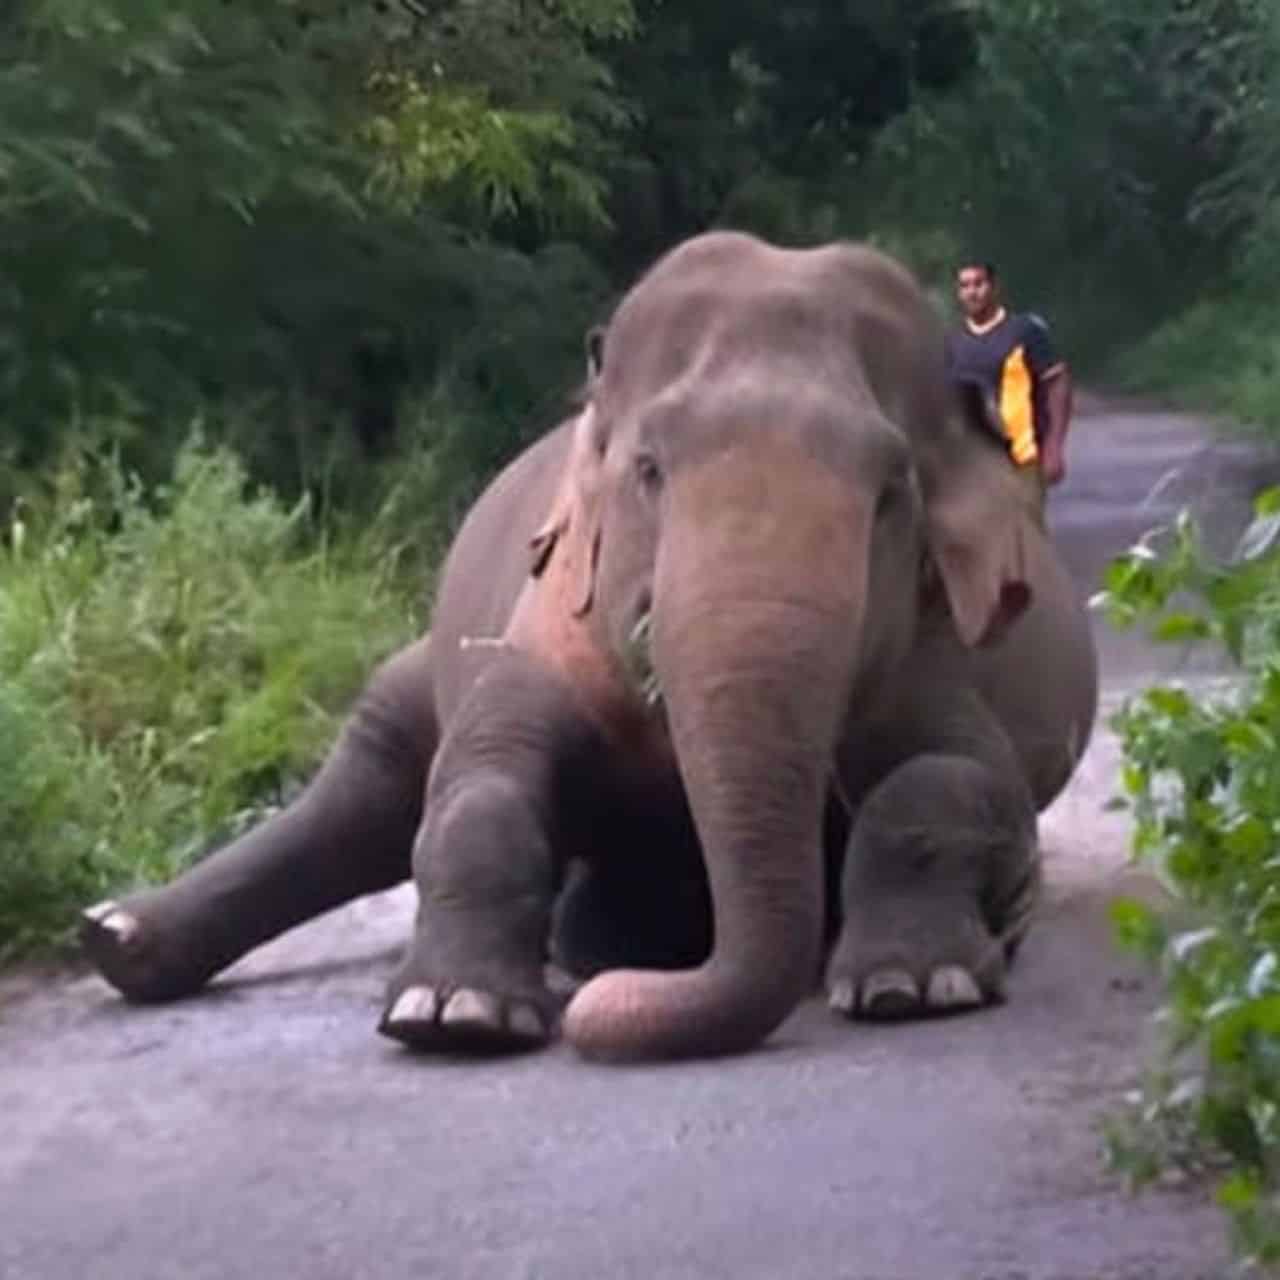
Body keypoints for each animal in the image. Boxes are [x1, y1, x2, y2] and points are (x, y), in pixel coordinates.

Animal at [79, 231, 1098, 1063]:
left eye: (892, 492)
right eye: (649, 469)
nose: (606, 1009)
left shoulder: (933, 644)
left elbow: (960, 775)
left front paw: (911, 986)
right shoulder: (550, 622)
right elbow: (481, 777)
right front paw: (449, 1013)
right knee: (372, 774)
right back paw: (118, 937)